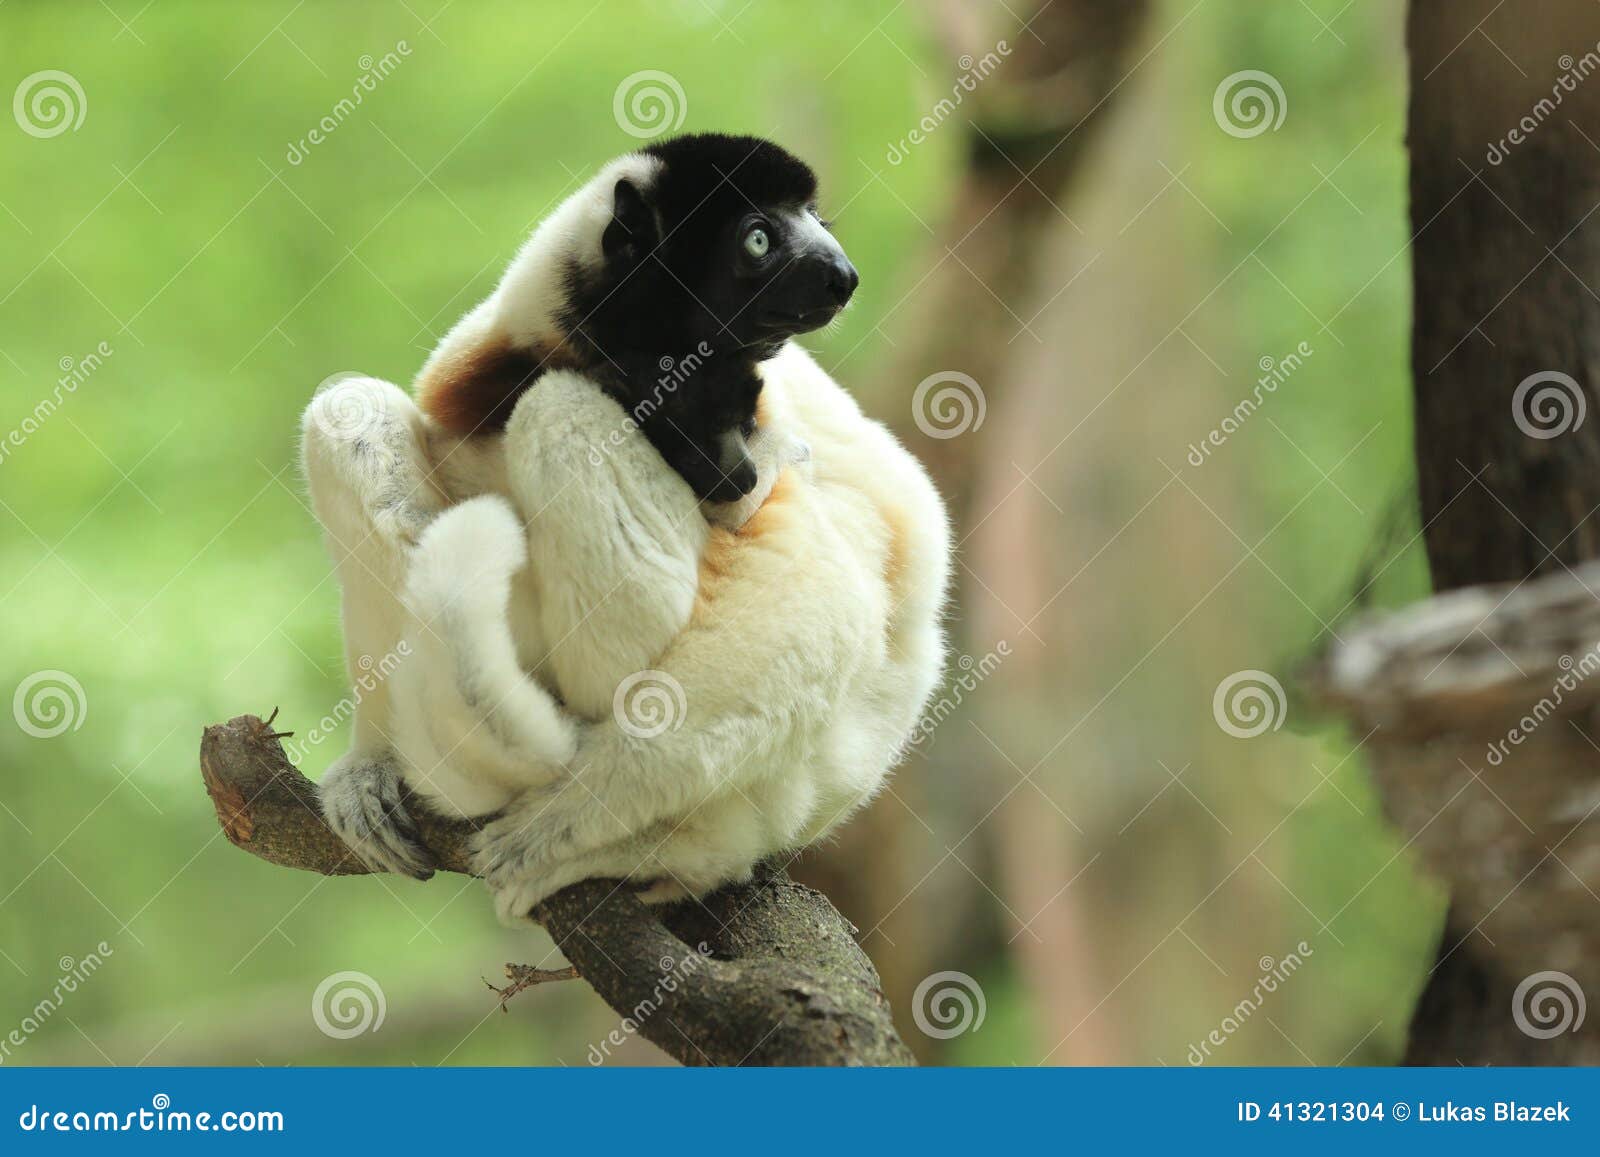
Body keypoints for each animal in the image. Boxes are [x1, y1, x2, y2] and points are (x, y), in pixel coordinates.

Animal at [301, 133, 951, 921]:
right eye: (759, 240)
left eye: (814, 224)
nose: (840, 276)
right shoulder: (477, 370)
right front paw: (369, 769)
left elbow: (825, 601)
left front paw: (564, 821)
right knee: (351, 417)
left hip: (765, 789)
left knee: (557, 414)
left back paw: (634, 837)